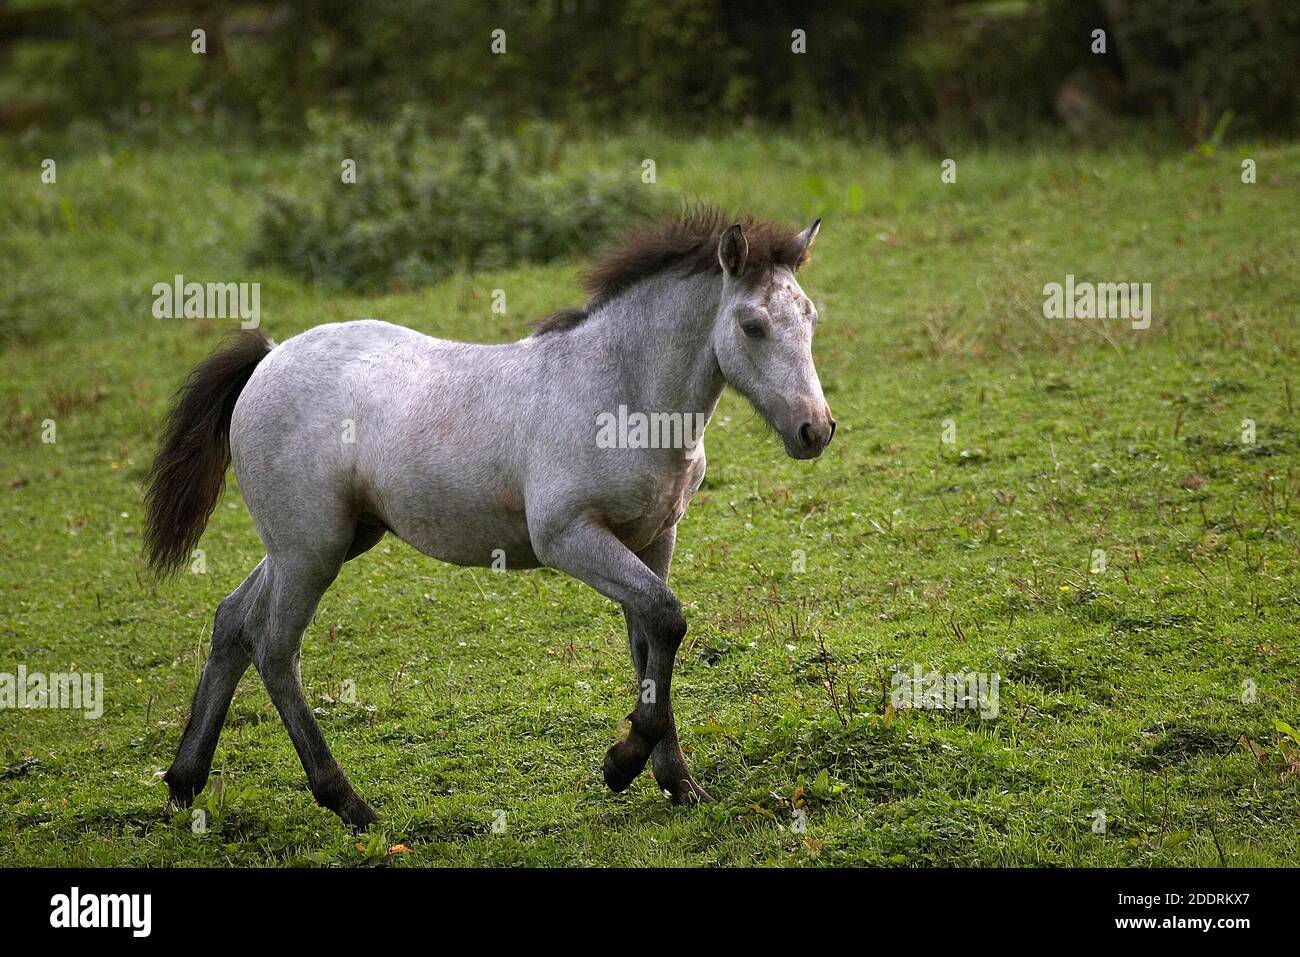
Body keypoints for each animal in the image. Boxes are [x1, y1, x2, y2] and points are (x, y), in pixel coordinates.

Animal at [144, 207, 835, 828]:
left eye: (809, 317)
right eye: (751, 325)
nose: (815, 429)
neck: (622, 391)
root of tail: (269, 355)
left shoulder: (652, 539)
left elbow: (649, 640)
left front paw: (677, 781)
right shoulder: (568, 537)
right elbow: (666, 618)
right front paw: (622, 765)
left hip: (325, 541)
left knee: (233, 621)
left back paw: (184, 781)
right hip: (309, 549)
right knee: (275, 648)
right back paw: (348, 803)